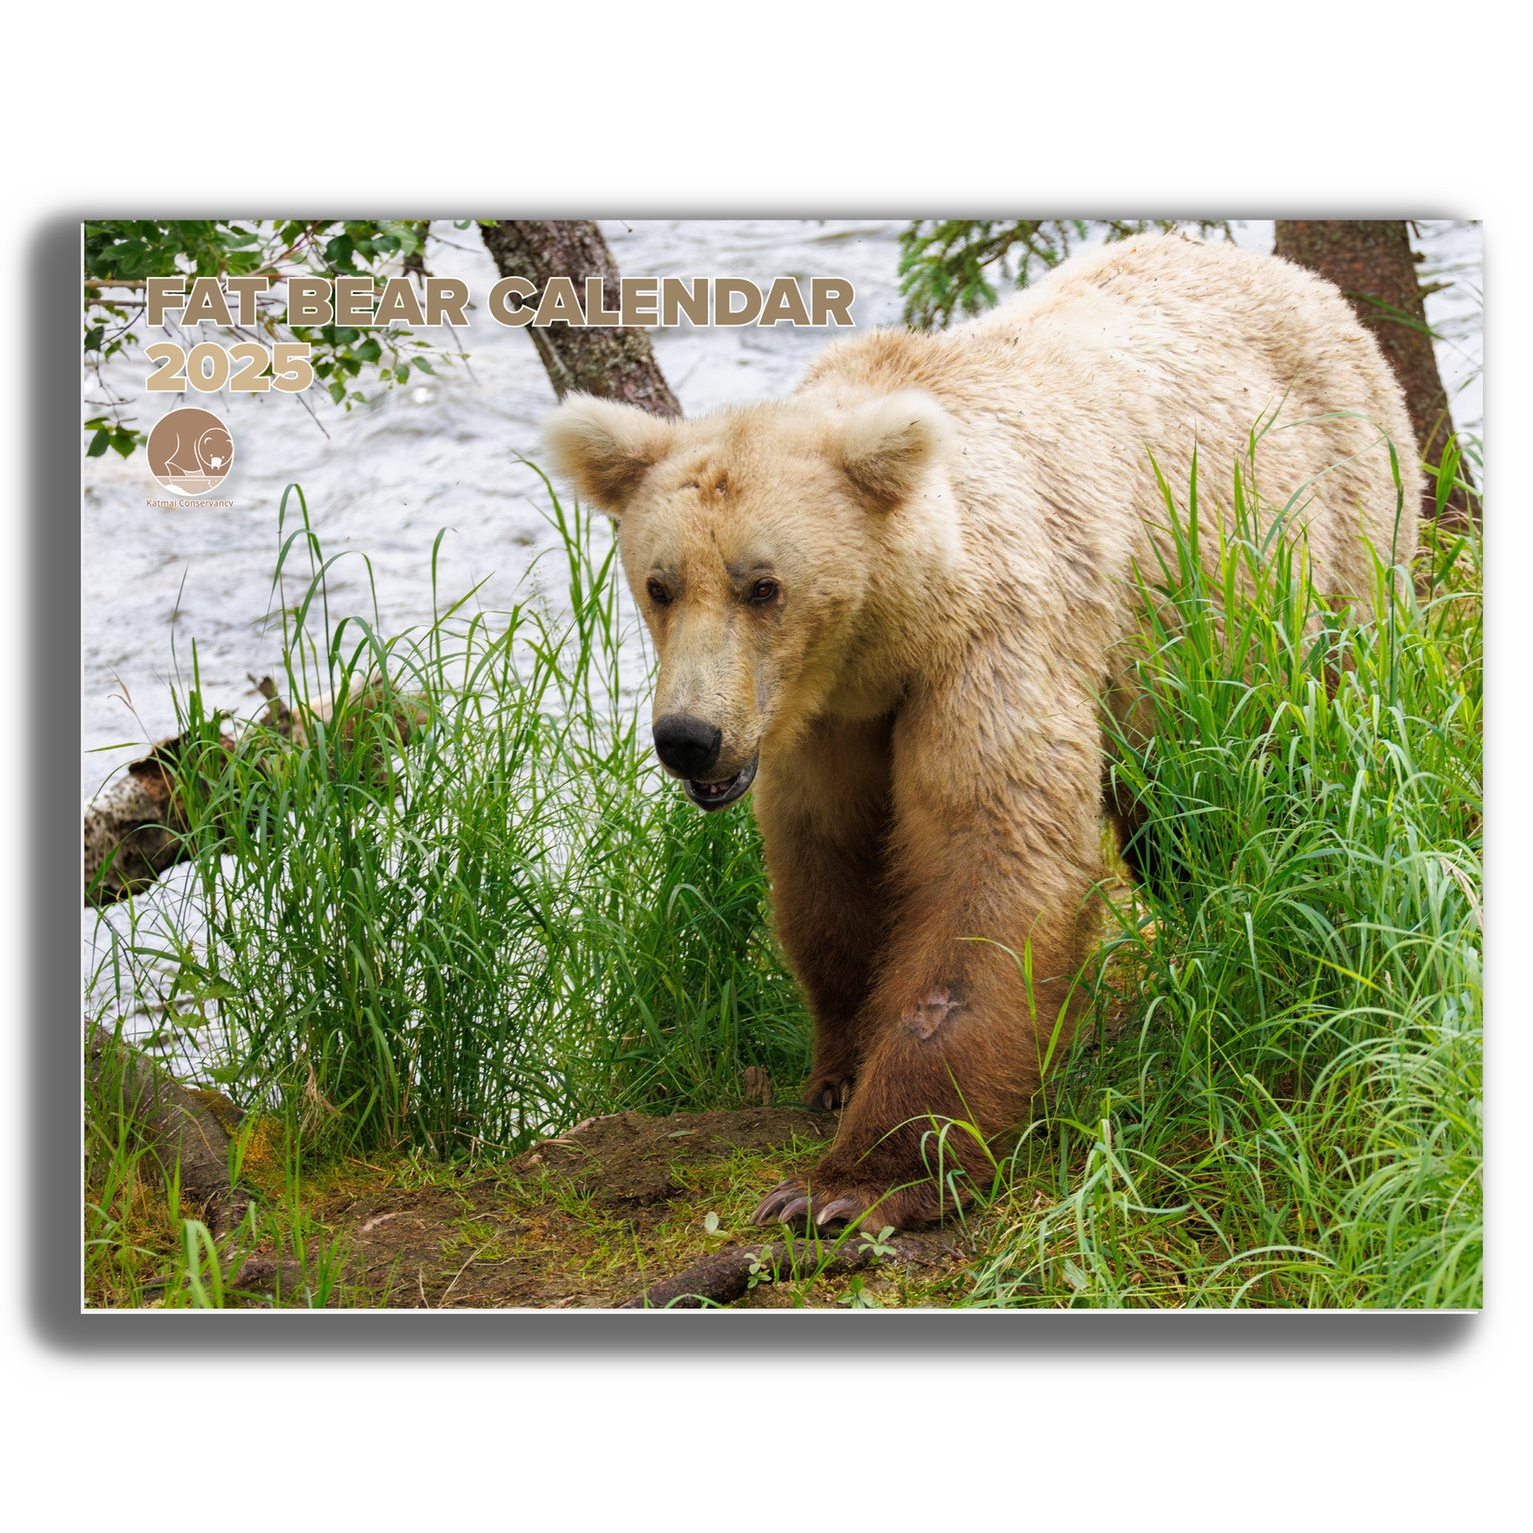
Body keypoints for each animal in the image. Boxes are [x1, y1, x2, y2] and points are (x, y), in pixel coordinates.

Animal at [544, 233, 1420, 1231]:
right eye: (659, 583)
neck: (880, 640)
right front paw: (837, 1069)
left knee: (1281, 769)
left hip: (1316, 557)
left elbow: (989, 859)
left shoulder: (988, 645)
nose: (689, 737)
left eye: (761, 585)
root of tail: (1299, 280)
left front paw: (854, 1181)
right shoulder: (823, 724)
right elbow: (828, 867)